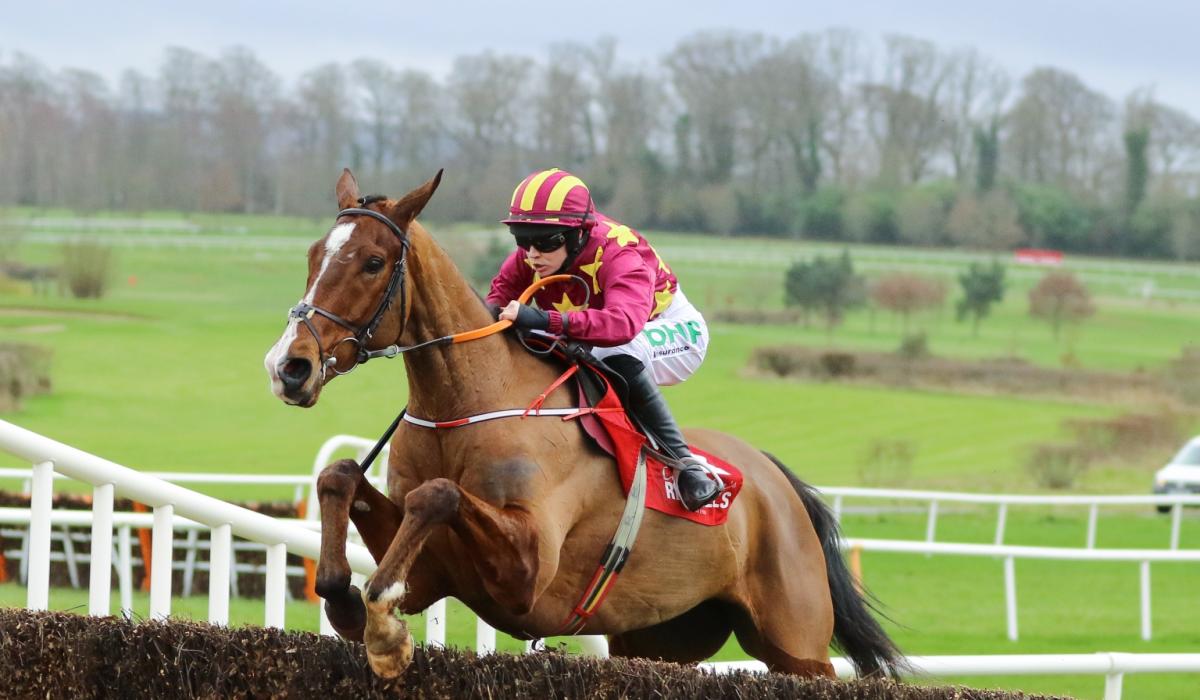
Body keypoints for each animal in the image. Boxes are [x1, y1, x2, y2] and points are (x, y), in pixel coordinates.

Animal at [263, 169, 904, 679]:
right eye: (314, 257)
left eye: (373, 262)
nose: (289, 367)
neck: (470, 401)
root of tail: (779, 484)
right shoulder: (438, 573)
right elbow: (341, 478)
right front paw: (349, 602)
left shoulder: (526, 572)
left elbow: (438, 494)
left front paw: (383, 629)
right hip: (658, 638)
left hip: (798, 641)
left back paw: (697, 480)